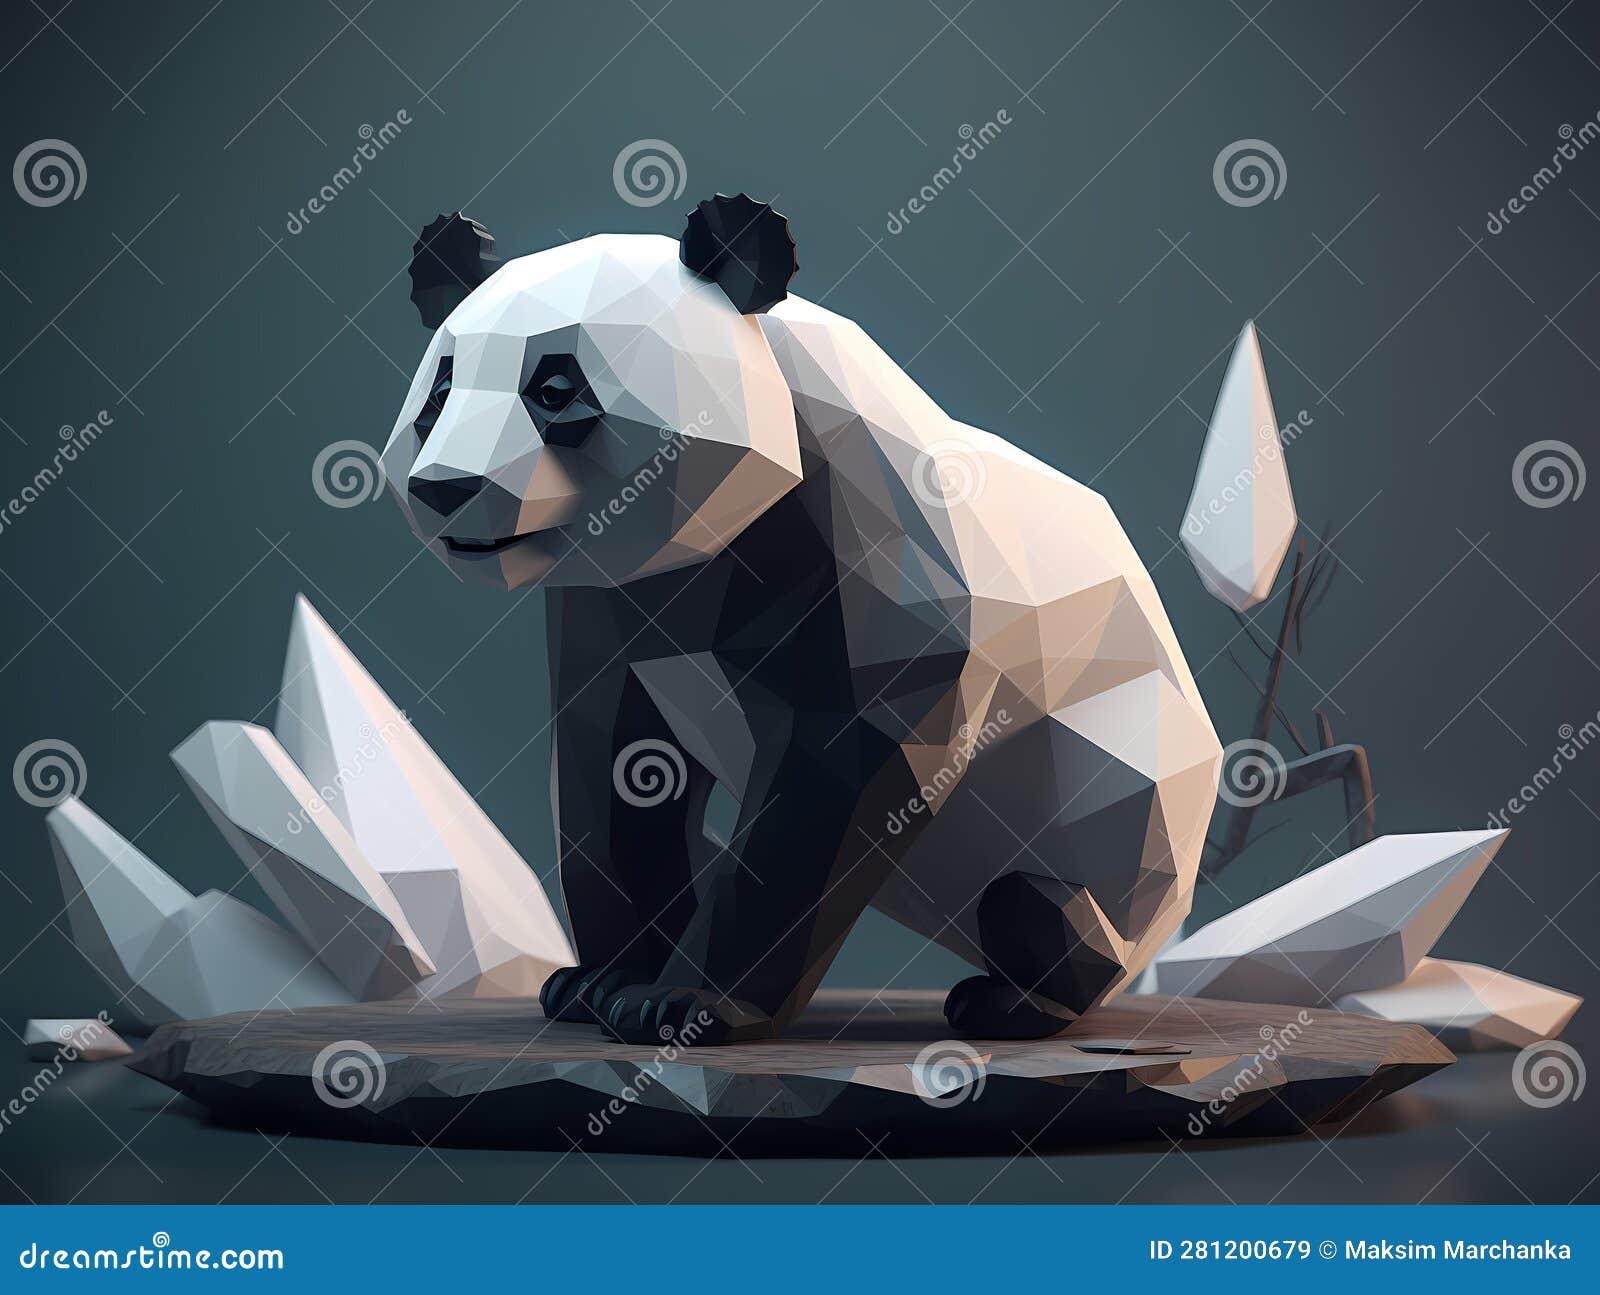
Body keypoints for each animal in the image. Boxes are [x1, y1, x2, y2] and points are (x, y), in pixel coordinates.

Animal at [382, 194, 1221, 1046]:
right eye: (438, 392)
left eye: (556, 389)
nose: (445, 488)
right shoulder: (612, 598)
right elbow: (615, 756)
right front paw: (599, 982)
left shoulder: (870, 541)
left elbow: (837, 760)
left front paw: (685, 1002)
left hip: (1113, 804)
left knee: (1044, 906)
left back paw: (1012, 998)